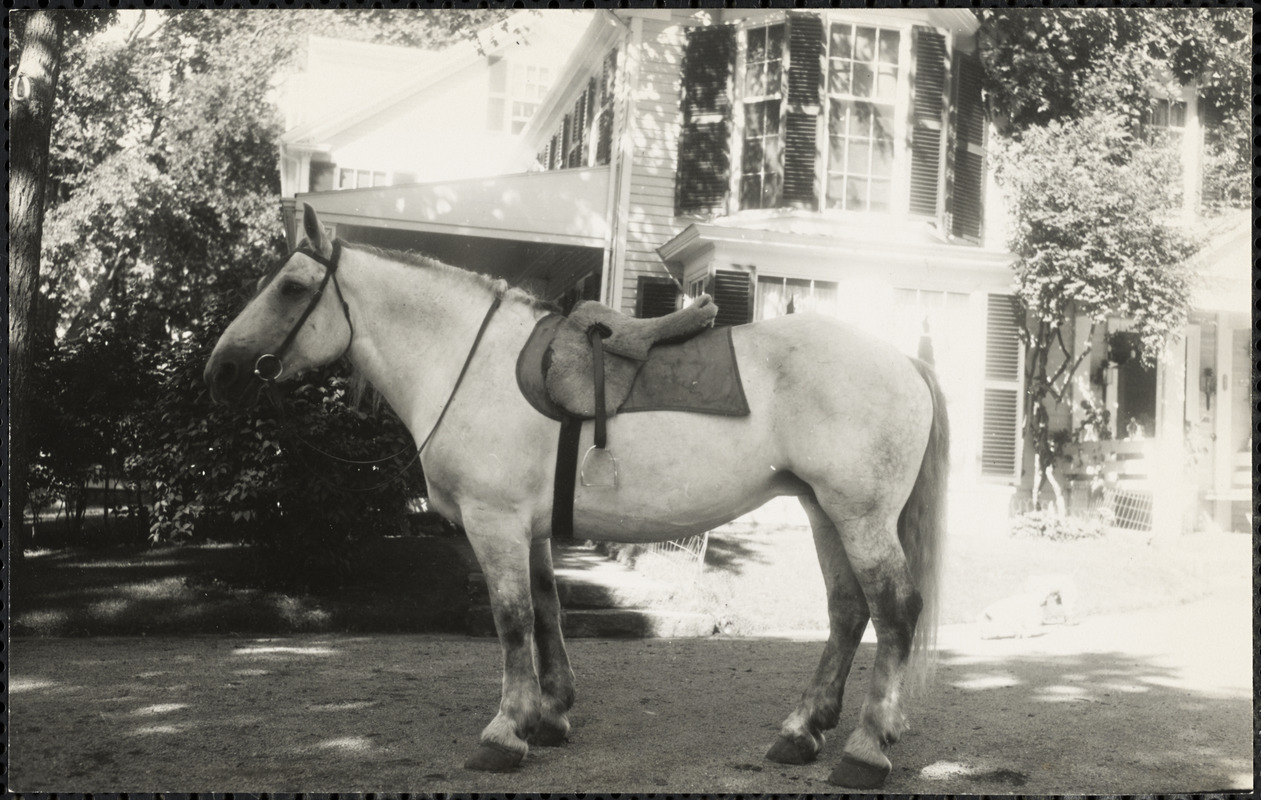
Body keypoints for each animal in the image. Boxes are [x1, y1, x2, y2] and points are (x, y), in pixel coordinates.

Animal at [204, 204, 949, 789]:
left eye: (291, 287)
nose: (222, 370)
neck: (465, 363)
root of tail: (904, 360)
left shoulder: (495, 522)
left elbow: (510, 621)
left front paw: (505, 731)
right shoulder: (528, 528)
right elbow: (546, 610)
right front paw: (549, 714)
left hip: (859, 515)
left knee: (894, 610)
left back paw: (865, 748)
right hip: (822, 509)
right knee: (847, 610)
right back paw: (802, 730)